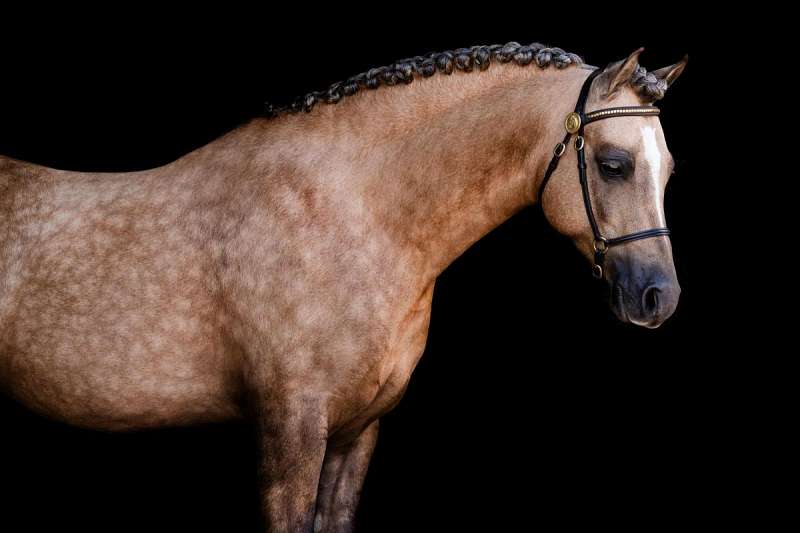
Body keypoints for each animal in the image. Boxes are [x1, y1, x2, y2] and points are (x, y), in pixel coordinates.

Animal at [0, 42, 686, 532]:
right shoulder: (292, 430)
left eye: (669, 169)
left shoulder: (358, 431)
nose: (659, 298)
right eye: (613, 164)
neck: (357, 212)